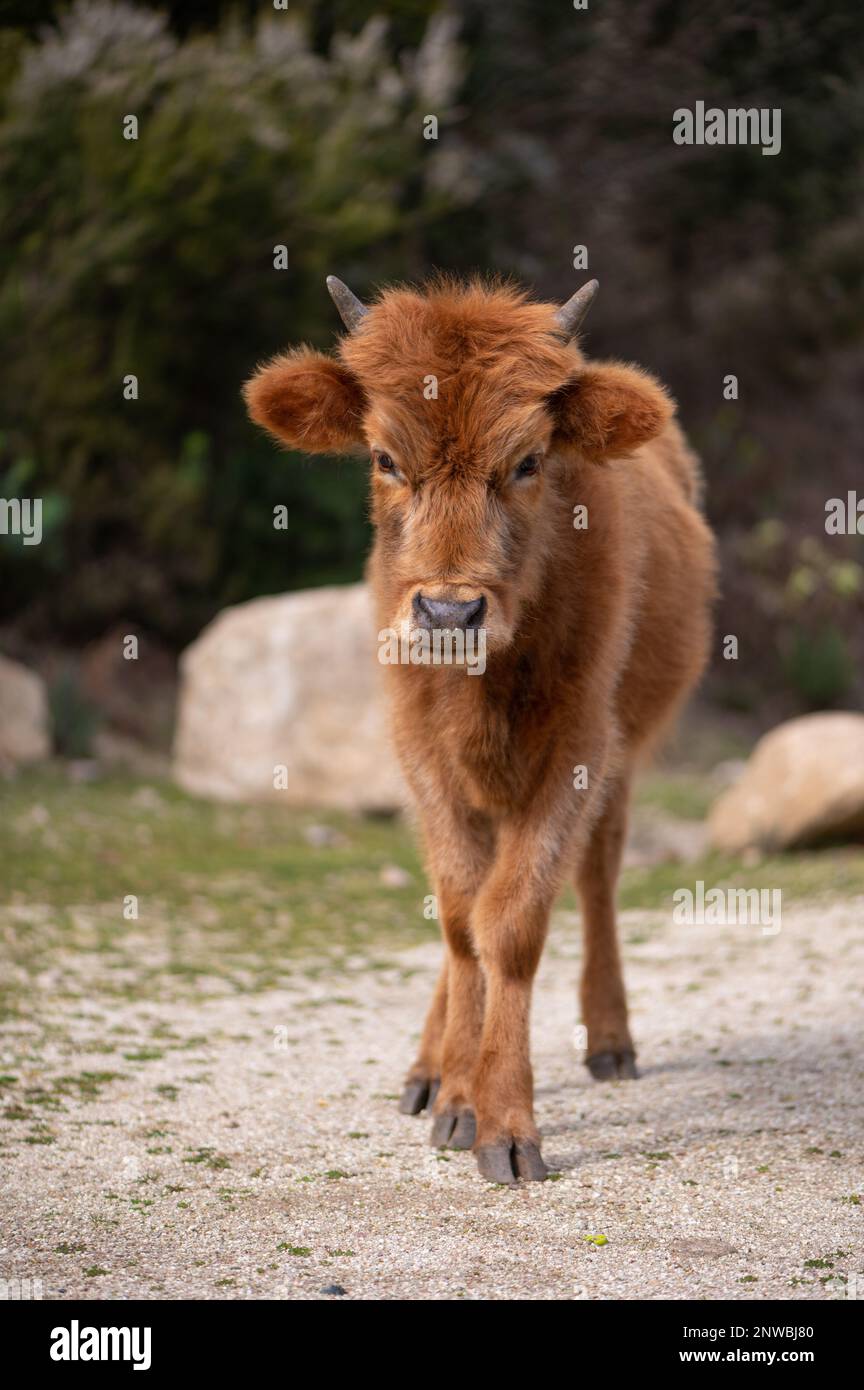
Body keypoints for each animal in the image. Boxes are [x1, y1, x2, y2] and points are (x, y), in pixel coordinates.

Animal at [243, 275, 717, 1184]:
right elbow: (463, 916)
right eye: (384, 458)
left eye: (528, 460)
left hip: (620, 766)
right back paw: (429, 1069)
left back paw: (610, 1043)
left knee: (597, 879)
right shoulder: (422, 754)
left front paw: (505, 1126)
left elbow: (514, 921)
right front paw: (457, 1097)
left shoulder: (578, 754)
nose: (448, 612)